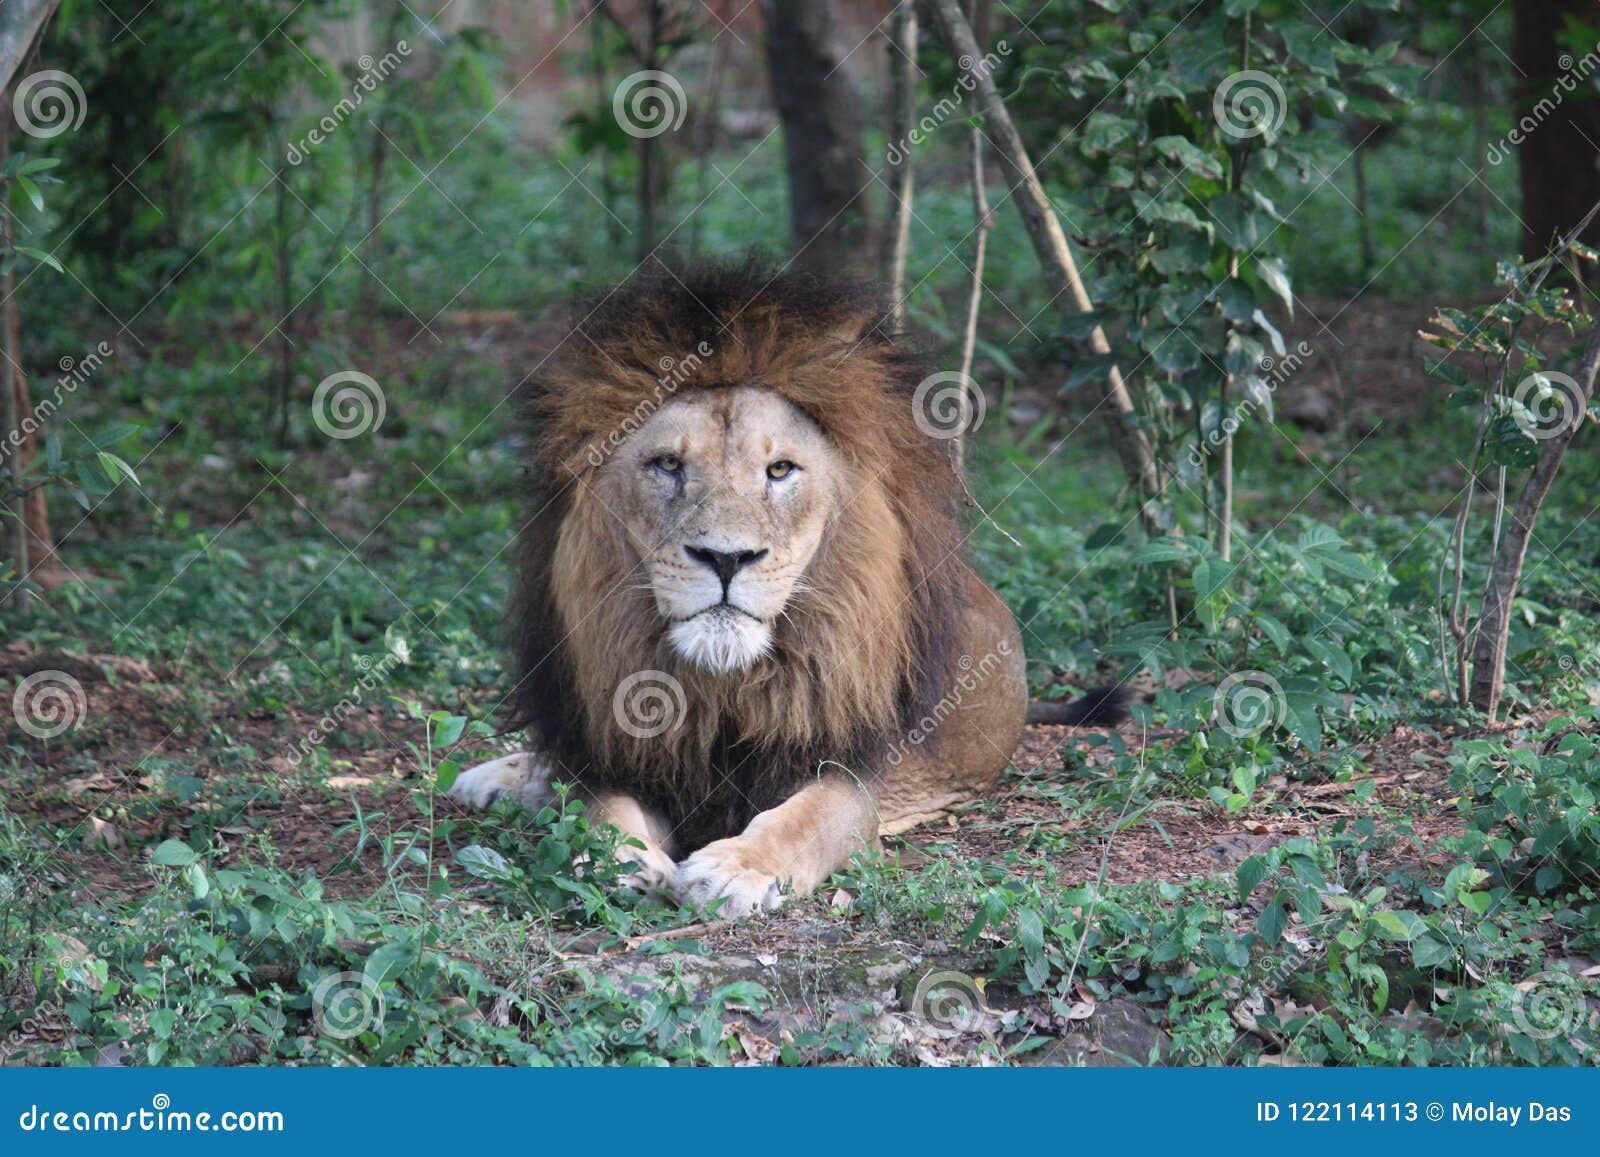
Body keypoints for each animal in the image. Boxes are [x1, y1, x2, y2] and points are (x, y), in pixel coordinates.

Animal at [448, 262, 1125, 916]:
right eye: (667, 464)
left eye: (778, 471)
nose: (726, 557)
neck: (725, 686)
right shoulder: (631, 756)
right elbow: (601, 811)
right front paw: (614, 861)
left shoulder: (846, 773)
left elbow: (804, 820)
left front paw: (732, 870)